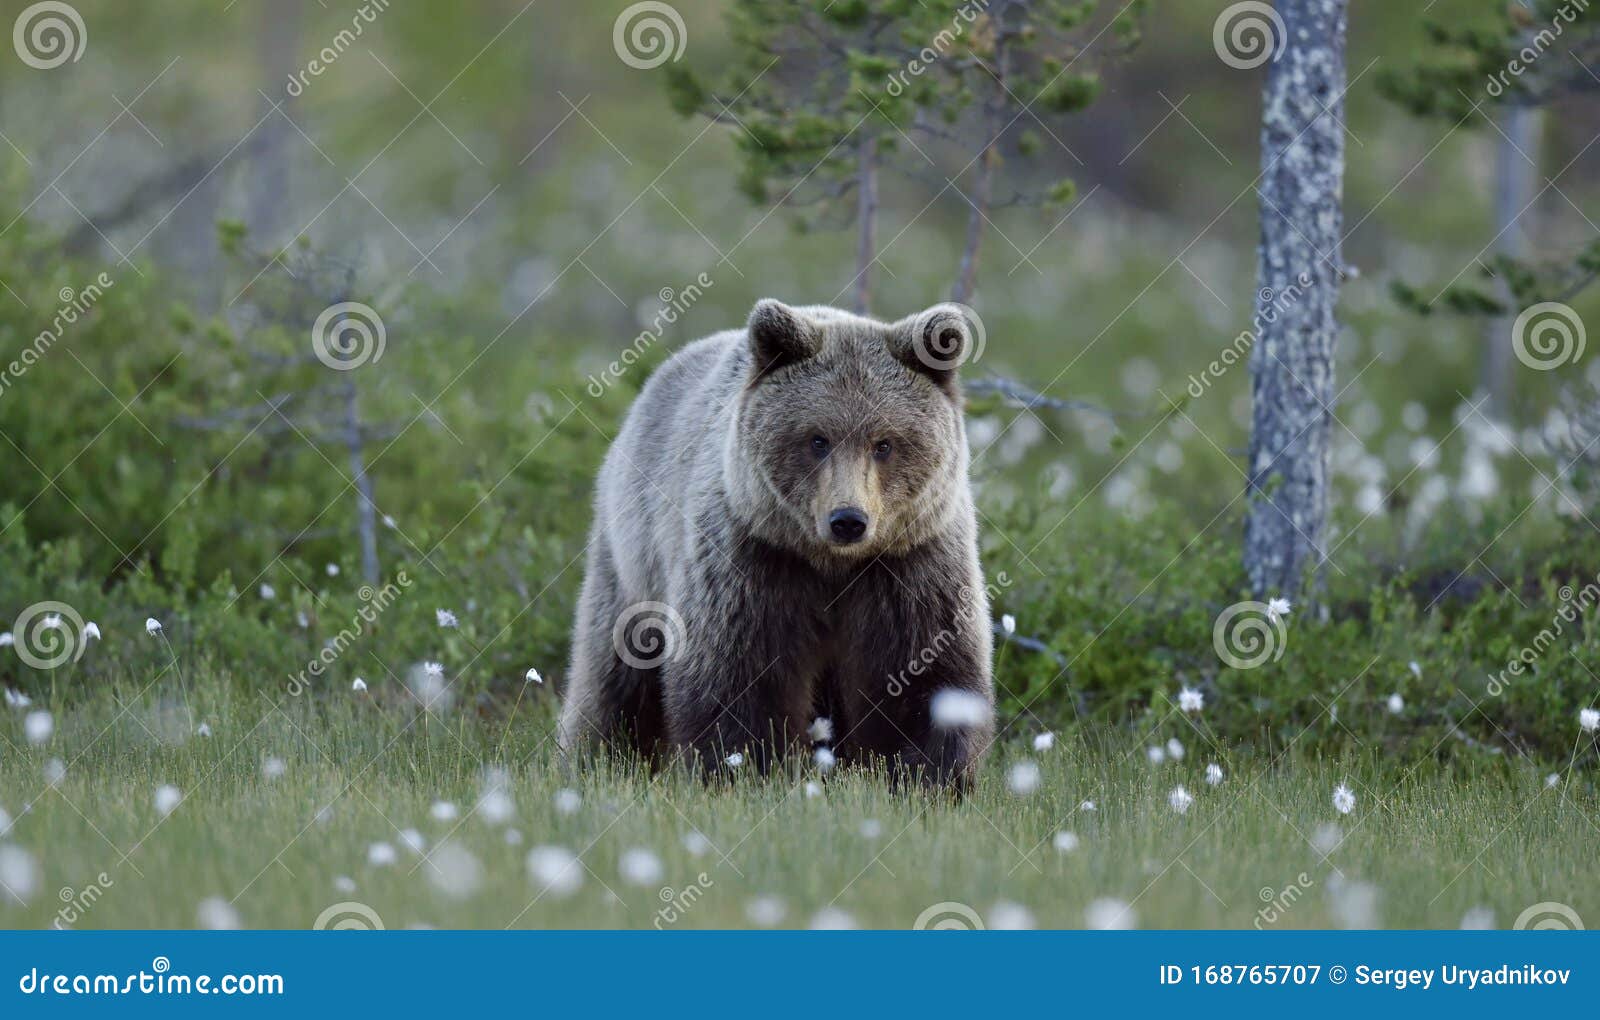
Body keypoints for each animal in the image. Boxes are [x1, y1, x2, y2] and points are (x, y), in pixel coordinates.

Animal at [557, 298, 994, 789]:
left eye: (884, 443)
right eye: (818, 439)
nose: (848, 520)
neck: (832, 566)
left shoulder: (910, 564)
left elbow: (927, 675)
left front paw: (928, 777)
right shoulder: (751, 559)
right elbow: (736, 677)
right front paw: (746, 772)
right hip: (633, 556)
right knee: (614, 673)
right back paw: (595, 759)